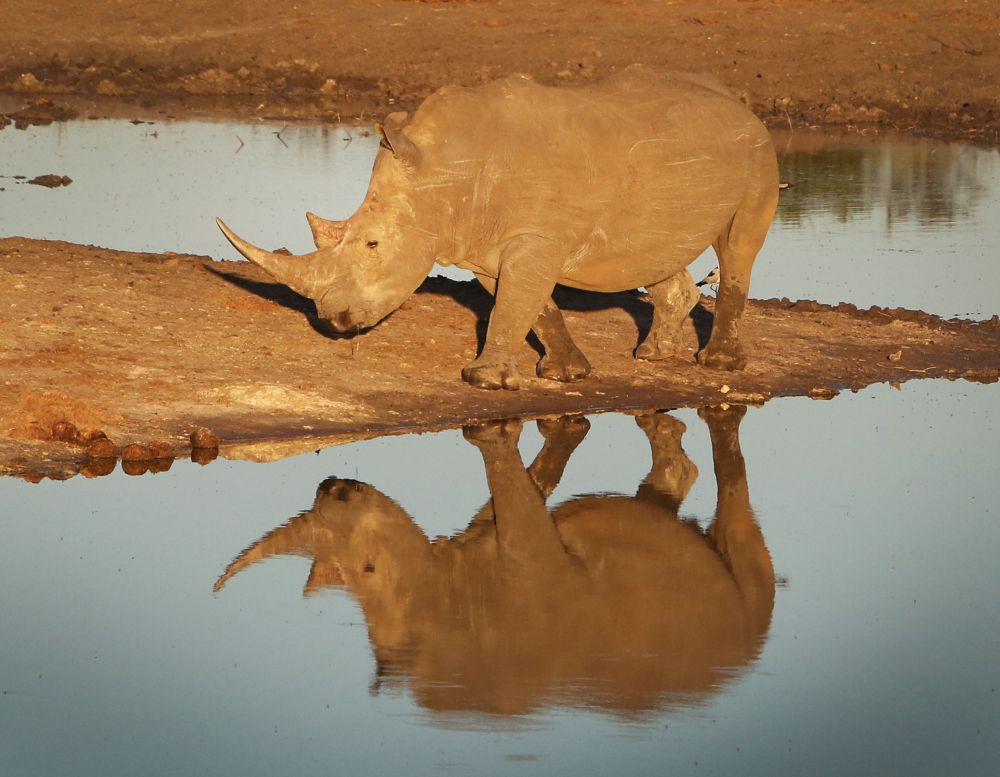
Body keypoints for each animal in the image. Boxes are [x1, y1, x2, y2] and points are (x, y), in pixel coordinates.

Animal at [215, 407, 774, 715]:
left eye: (370, 568)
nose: (333, 487)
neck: (437, 606)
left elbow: (512, 485)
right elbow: (517, 489)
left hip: (749, 620)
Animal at [217, 65, 779, 389]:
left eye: (373, 243)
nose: (331, 321)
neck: (442, 173)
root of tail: (740, 104)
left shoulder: (535, 239)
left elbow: (516, 301)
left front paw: (483, 381)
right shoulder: (482, 243)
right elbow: (526, 303)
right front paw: (567, 372)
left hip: (757, 150)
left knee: (737, 247)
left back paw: (718, 364)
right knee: (656, 251)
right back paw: (653, 356)